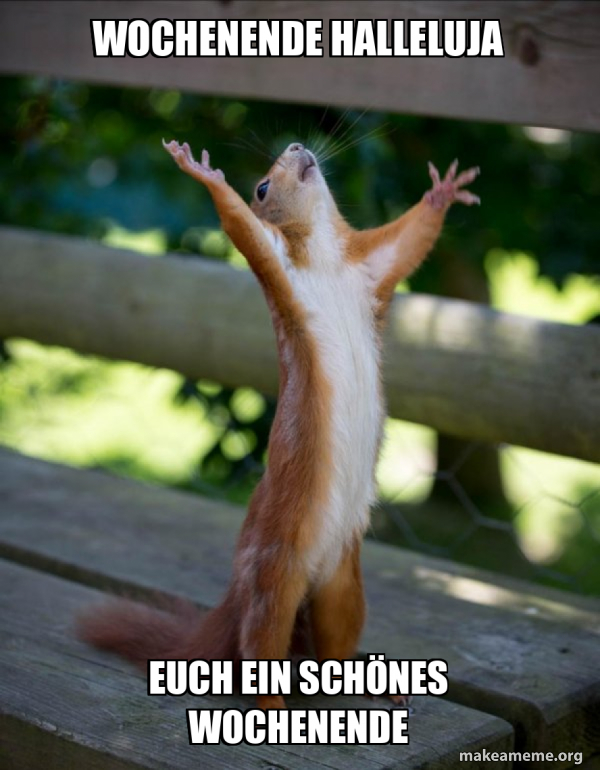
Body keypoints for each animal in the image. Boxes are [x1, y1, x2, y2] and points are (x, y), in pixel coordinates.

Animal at [78, 138, 479, 710]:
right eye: (262, 187)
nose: (296, 146)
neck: (327, 260)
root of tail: (239, 592)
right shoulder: (277, 265)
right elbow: (240, 226)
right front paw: (203, 173)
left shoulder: (372, 267)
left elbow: (410, 240)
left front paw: (443, 191)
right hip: (274, 578)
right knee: (260, 646)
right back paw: (274, 706)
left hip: (344, 587)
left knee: (334, 645)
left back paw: (367, 688)